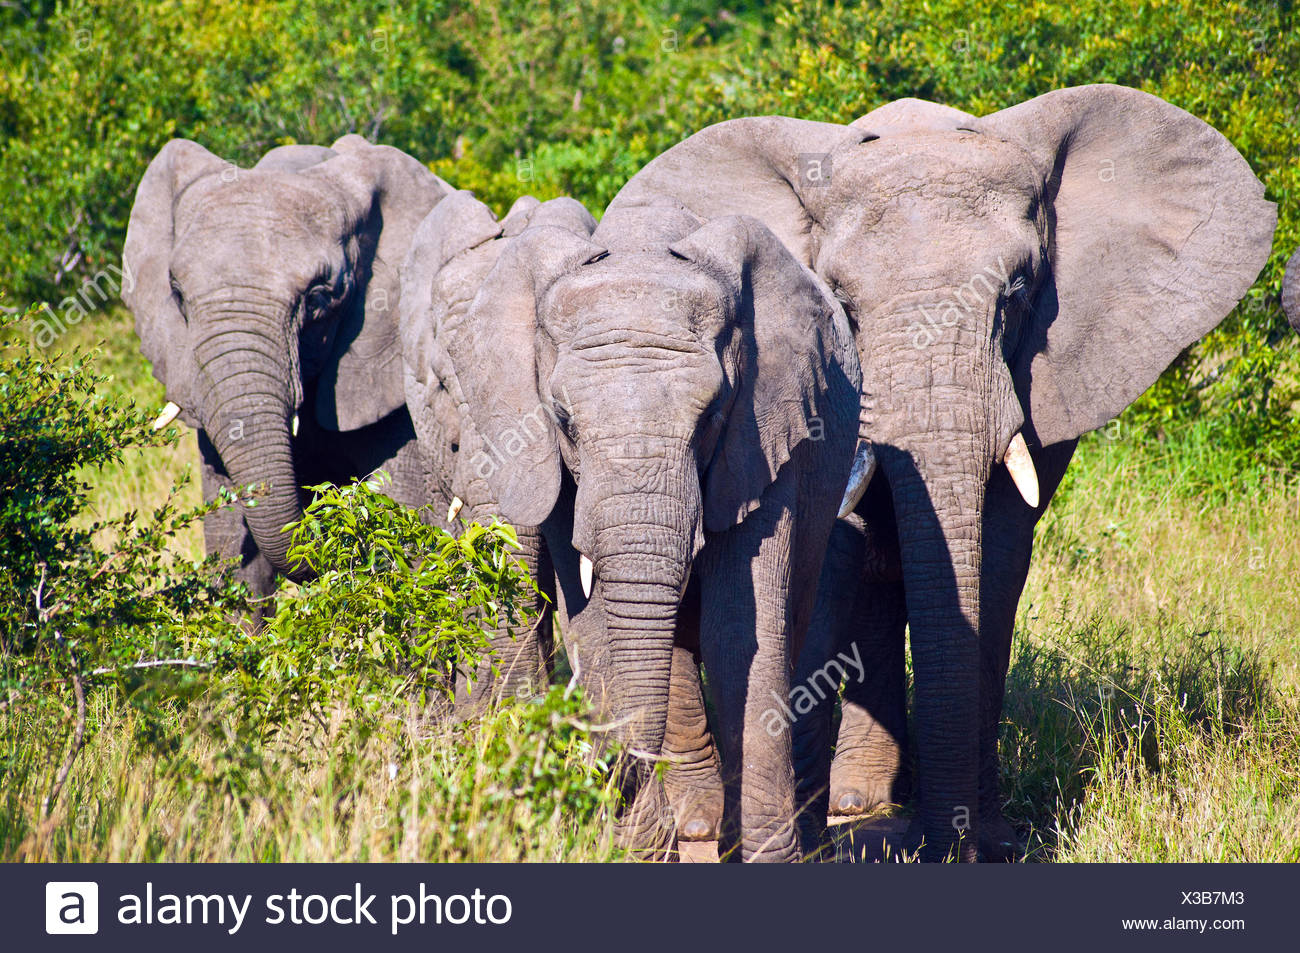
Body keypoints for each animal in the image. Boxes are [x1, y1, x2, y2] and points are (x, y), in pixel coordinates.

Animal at [405, 191, 866, 860]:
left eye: (711, 414)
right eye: (562, 418)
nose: (607, 769)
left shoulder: (766, 430)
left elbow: (739, 633)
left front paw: (766, 858)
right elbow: (597, 631)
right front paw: (635, 848)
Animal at [609, 84, 1276, 860]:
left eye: (1017, 291)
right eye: (841, 302)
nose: (947, 842)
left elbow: (997, 557)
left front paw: (986, 840)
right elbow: (833, 557)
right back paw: (856, 804)